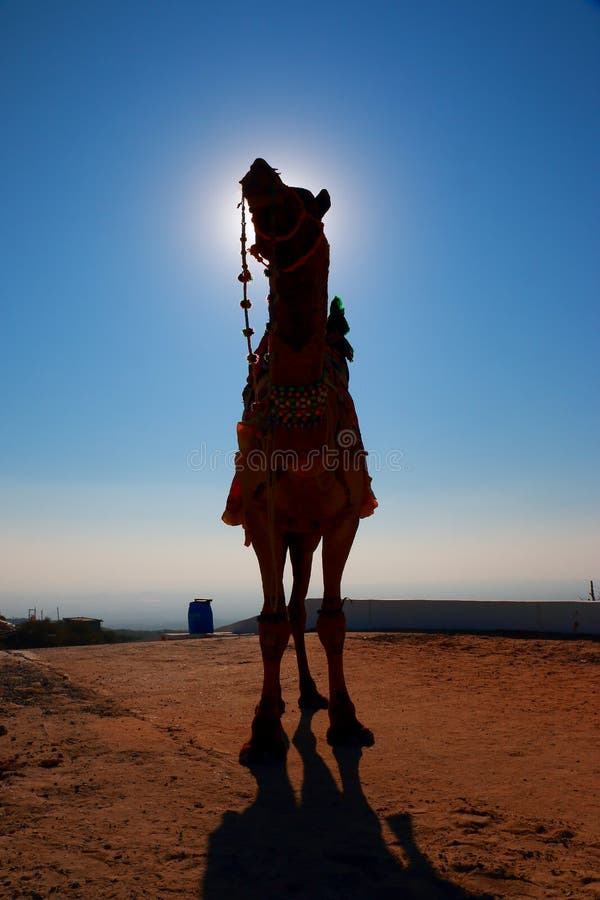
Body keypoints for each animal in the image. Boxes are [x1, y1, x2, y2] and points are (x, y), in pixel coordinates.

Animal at [222, 159, 377, 764]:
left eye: (306, 198)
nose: (258, 169)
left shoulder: (343, 516)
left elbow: (332, 620)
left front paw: (347, 720)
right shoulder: (261, 515)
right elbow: (267, 624)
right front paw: (263, 729)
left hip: (306, 535)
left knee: (300, 608)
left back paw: (313, 695)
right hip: (290, 530)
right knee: (286, 612)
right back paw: (295, 699)